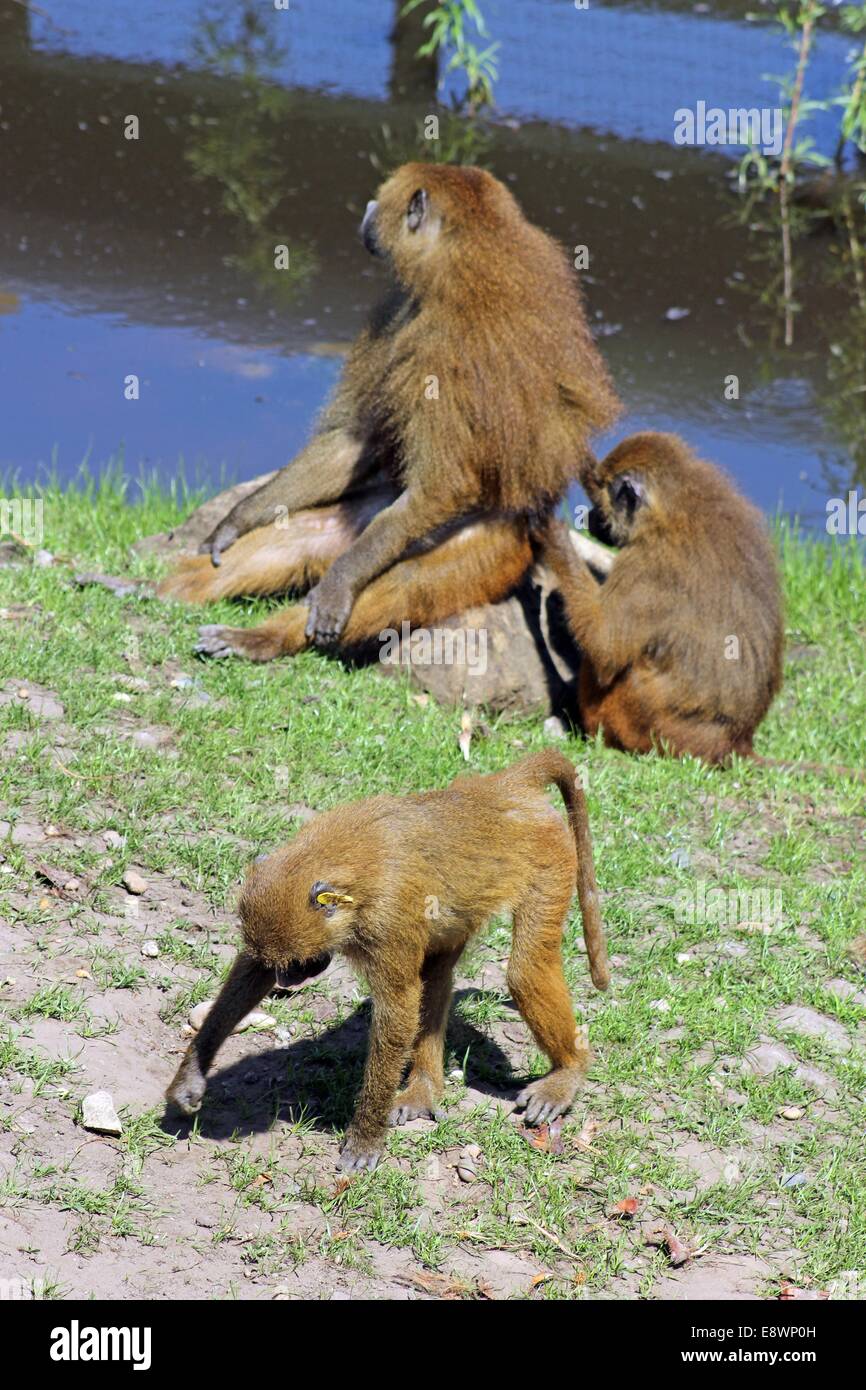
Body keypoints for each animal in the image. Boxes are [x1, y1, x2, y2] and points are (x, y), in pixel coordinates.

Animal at [157, 162, 621, 663]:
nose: (366, 209)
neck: (464, 256)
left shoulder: (436, 346)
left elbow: (442, 487)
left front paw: (335, 587)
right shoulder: (402, 312)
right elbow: (355, 439)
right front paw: (234, 523)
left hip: (486, 540)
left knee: (403, 578)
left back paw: (262, 638)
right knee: (302, 534)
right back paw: (159, 589)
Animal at [165, 749, 609, 1172]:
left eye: (295, 964)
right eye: (282, 966)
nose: (287, 981)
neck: (342, 861)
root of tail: (502, 790)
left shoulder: (388, 917)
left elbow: (397, 1006)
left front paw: (365, 1138)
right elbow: (250, 973)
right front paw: (192, 1074)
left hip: (549, 854)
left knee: (525, 968)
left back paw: (568, 1072)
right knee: (436, 976)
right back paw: (424, 1090)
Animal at [534, 432, 785, 765]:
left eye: (602, 505)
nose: (588, 517)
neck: (672, 506)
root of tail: (734, 741)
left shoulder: (645, 564)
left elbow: (604, 647)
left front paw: (555, 539)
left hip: (654, 727)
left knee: (625, 670)